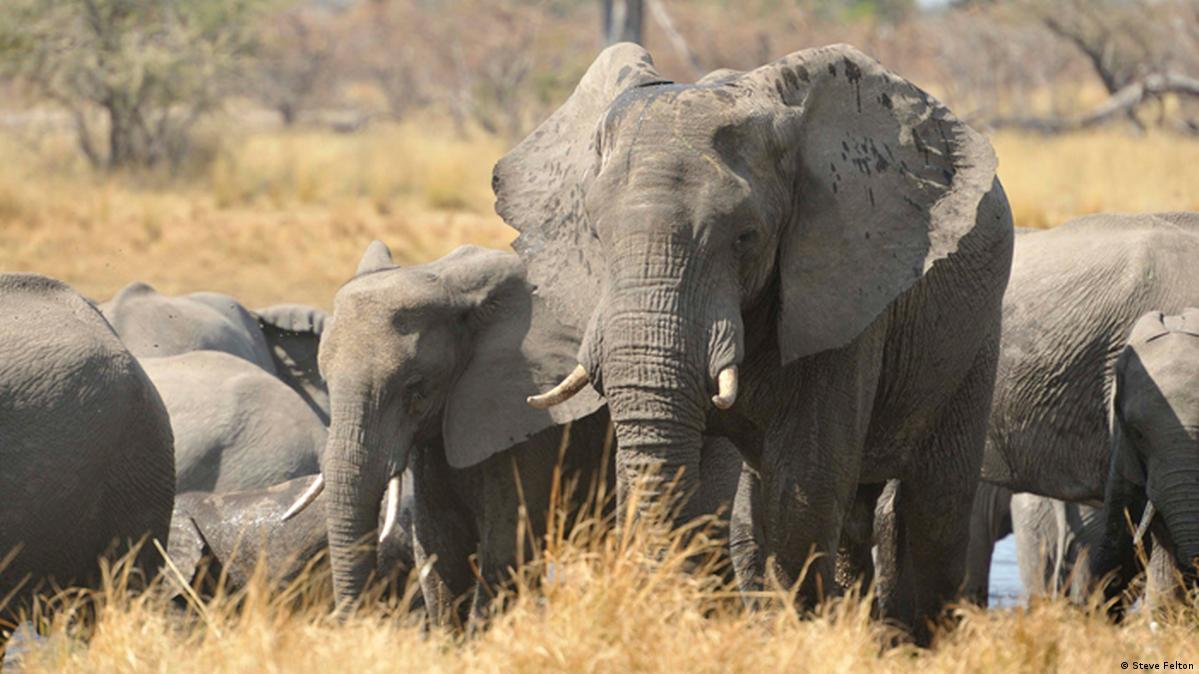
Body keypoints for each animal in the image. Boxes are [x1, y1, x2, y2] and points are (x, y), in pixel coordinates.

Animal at [302, 240, 742, 623]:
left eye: (416, 390)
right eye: (325, 380)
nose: (349, 624)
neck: (450, 283)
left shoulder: (530, 424)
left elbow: (506, 552)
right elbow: (440, 552)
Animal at [495, 43, 1013, 640]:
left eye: (746, 237)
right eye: (596, 235)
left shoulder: (845, 285)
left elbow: (805, 484)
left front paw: (798, 635)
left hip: (976, 331)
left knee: (934, 505)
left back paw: (917, 641)